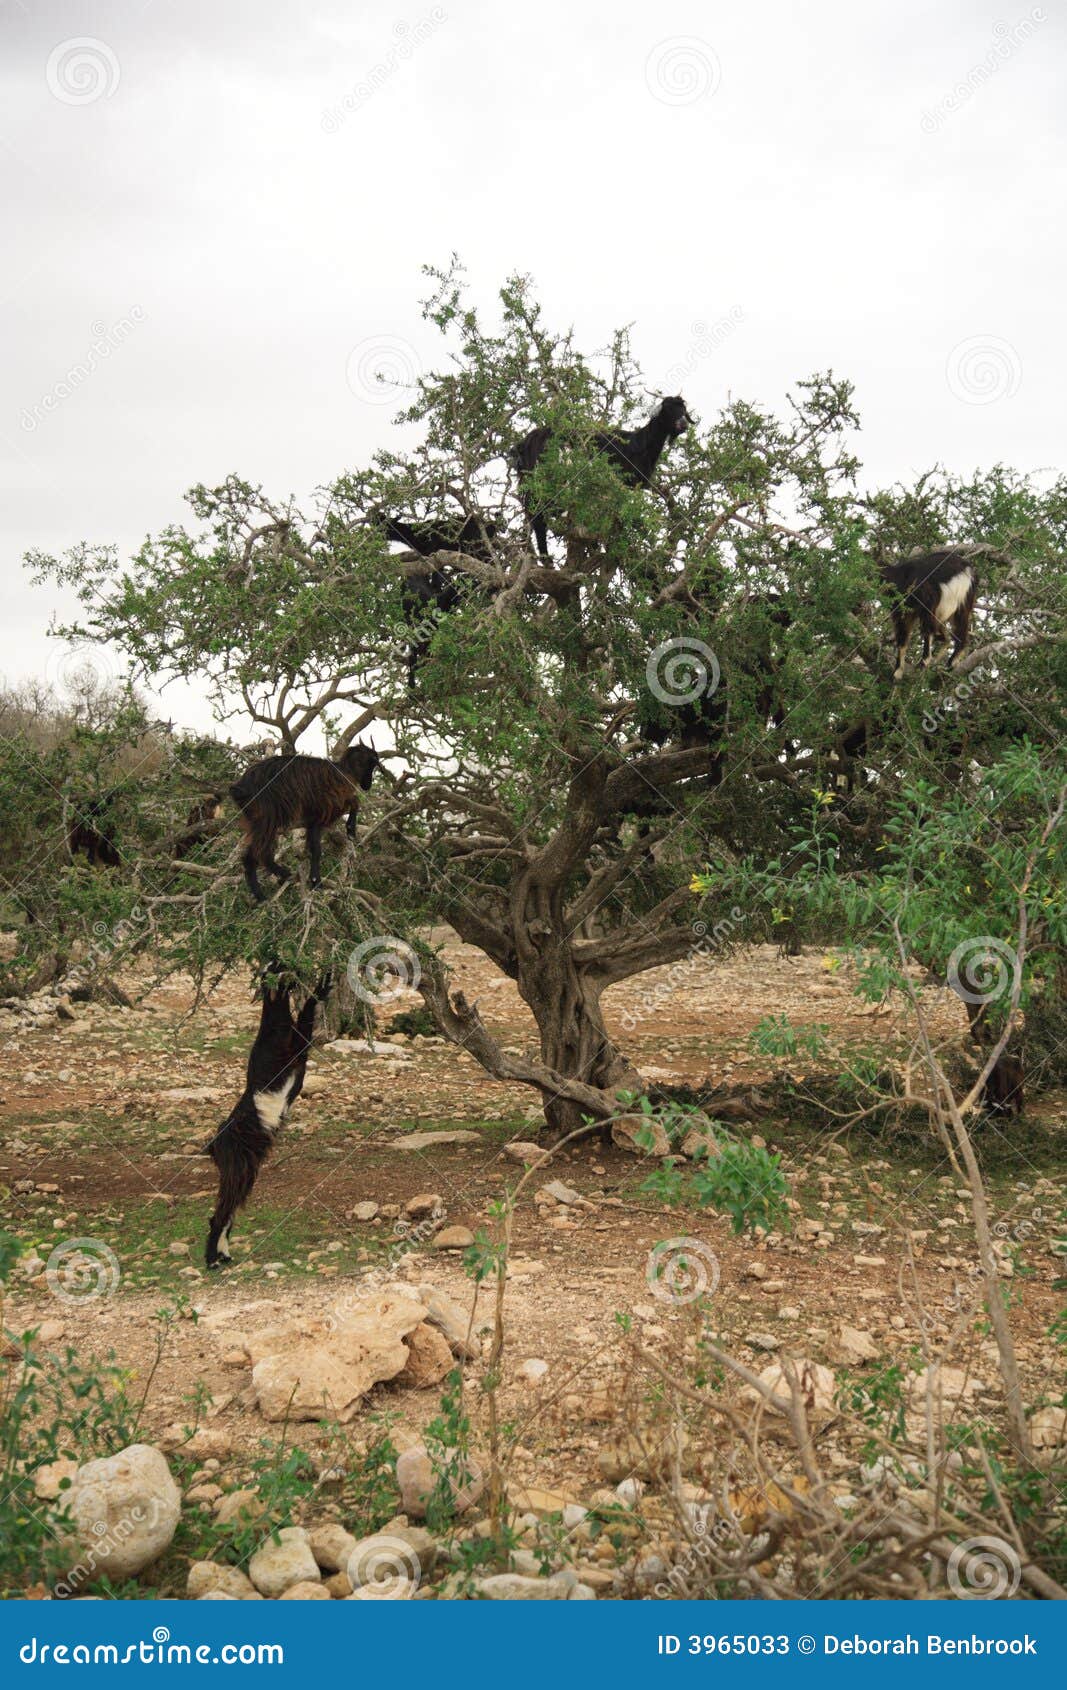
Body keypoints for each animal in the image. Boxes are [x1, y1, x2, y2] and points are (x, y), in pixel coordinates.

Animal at [204, 969, 331, 1267]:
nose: (286, 973)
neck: (272, 1030)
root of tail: (214, 1144)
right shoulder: (295, 1046)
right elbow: (309, 1008)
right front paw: (326, 980)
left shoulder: (299, 1049)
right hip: (237, 1166)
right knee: (221, 1212)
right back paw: (212, 1259)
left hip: (248, 1168)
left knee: (229, 1211)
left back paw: (223, 1255)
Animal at [231, 744, 380, 902]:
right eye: (372, 763)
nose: (368, 785)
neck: (343, 771)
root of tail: (239, 788)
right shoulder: (328, 806)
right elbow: (354, 801)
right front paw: (351, 829)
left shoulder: (315, 819)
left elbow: (315, 849)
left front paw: (315, 881)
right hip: (268, 815)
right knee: (259, 852)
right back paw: (281, 875)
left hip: (257, 818)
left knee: (250, 856)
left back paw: (260, 896)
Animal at [513, 395, 692, 558]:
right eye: (668, 409)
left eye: (684, 410)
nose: (683, 424)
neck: (640, 444)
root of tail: (527, 441)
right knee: (537, 510)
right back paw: (546, 555)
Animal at [879, 551, 978, 680]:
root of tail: (968, 569)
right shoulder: (904, 612)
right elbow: (902, 639)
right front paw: (898, 671)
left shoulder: (924, 597)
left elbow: (924, 631)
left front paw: (922, 662)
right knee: (950, 634)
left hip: (952, 601)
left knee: (944, 631)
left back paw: (939, 662)